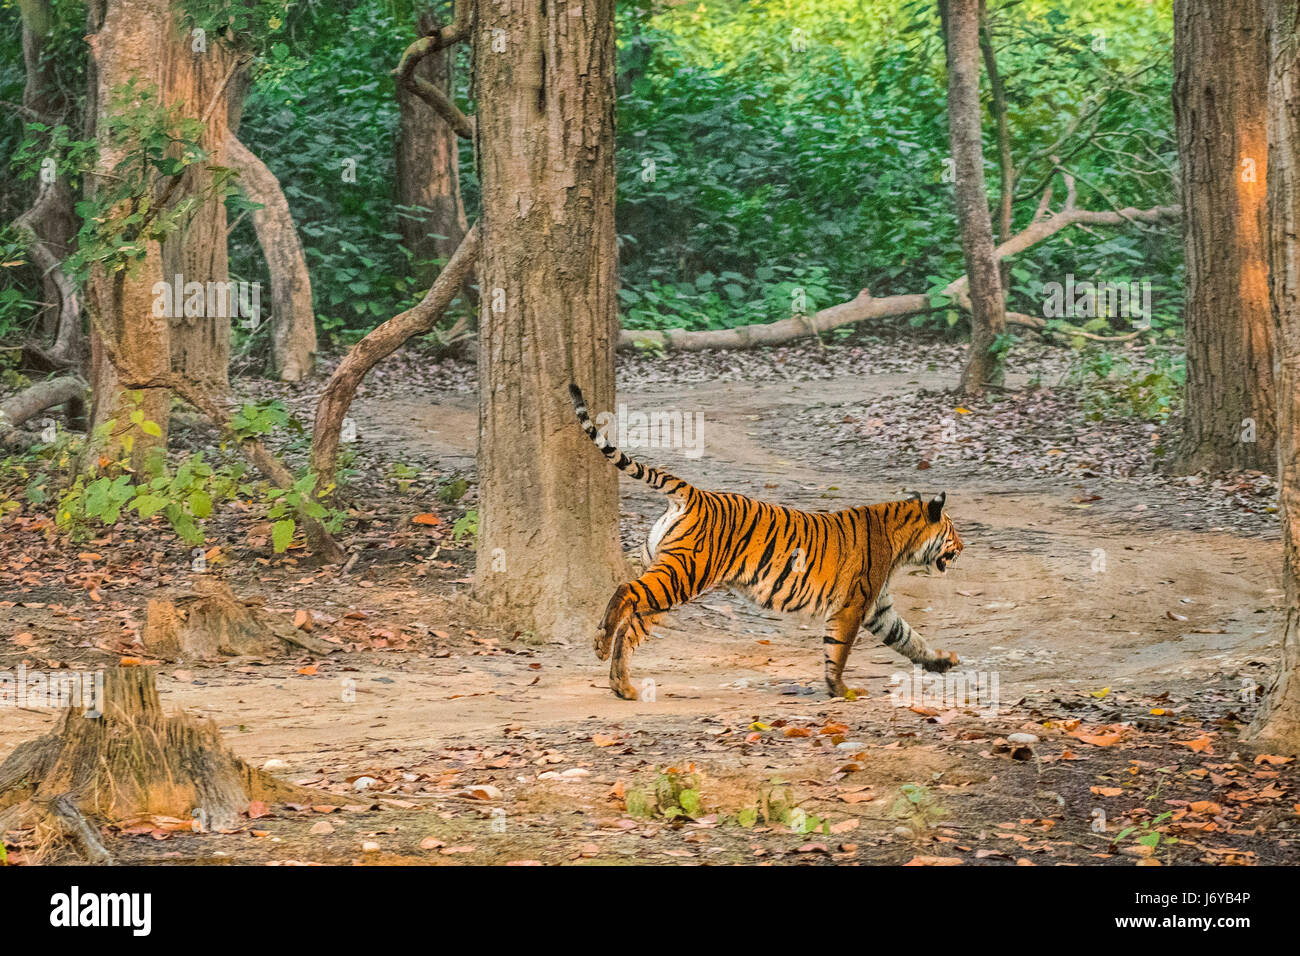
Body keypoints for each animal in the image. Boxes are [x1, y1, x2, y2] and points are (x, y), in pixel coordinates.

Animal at [569, 384, 964, 701]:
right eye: (952, 530)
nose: (962, 548)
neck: (901, 543)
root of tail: (695, 493)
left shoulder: (879, 608)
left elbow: (909, 637)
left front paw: (941, 661)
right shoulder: (853, 605)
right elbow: (839, 650)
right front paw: (841, 690)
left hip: (670, 580)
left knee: (632, 624)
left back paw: (622, 686)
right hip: (683, 574)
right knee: (625, 590)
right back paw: (601, 644)